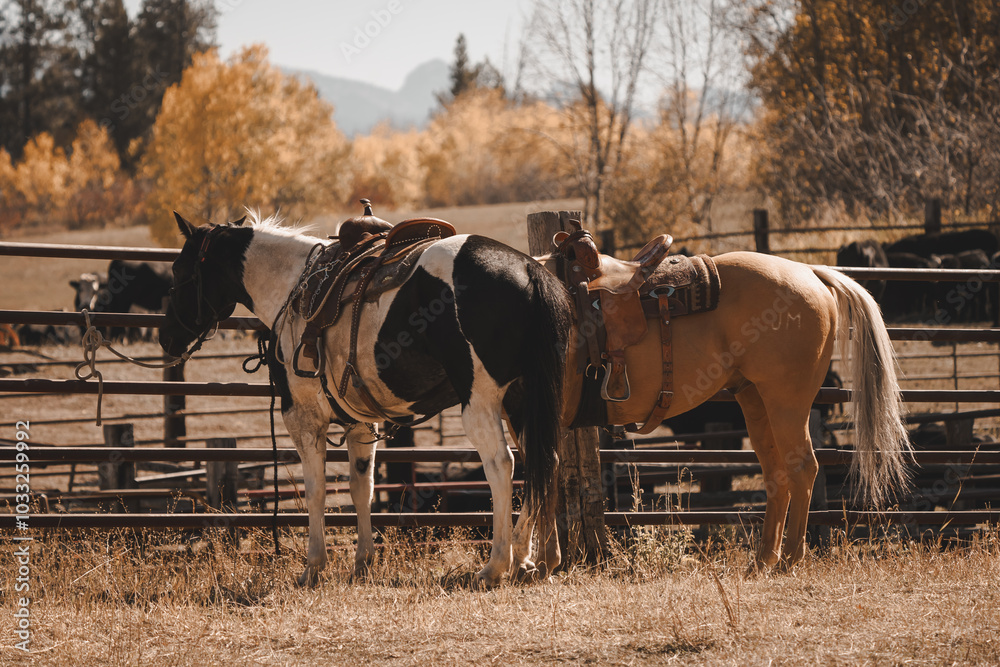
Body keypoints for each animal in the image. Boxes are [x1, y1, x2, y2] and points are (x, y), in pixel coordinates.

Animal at [159, 212, 572, 587]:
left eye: (179, 271)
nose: (166, 337)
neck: (291, 287)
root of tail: (528, 269)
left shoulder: (303, 418)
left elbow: (316, 491)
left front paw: (313, 566)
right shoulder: (359, 423)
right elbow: (363, 489)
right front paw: (362, 563)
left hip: (481, 402)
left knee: (502, 465)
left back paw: (498, 564)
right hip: (522, 400)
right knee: (545, 460)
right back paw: (540, 559)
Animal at [521, 243, 912, 574]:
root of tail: (810, 272)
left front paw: (534, 562)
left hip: (786, 401)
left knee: (802, 467)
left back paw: (789, 558)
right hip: (755, 401)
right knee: (776, 472)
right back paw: (763, 559)